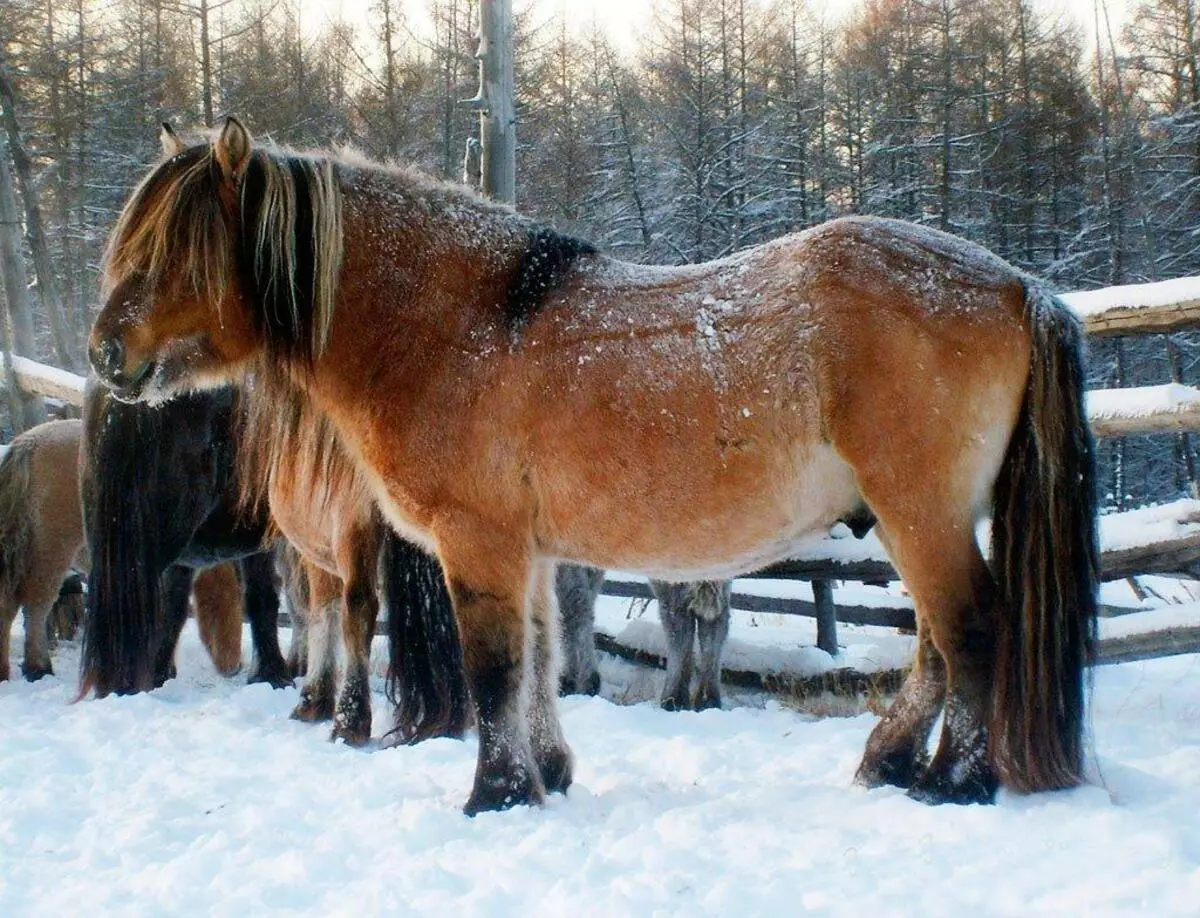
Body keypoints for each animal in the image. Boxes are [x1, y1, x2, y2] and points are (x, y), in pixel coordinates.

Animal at [87, 118, 1099, 811]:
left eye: (179, 250)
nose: (104, 353)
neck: (457, 328)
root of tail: (1018, 286)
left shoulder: (479, 545)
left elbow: (495, 669)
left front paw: (494, 794)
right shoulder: (530, 555)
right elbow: (537, 662)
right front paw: (549, 775)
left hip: (919, 513)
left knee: (970, 634)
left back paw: (953, 781)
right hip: (913, 519)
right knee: (934, 645)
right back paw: (889, 762)